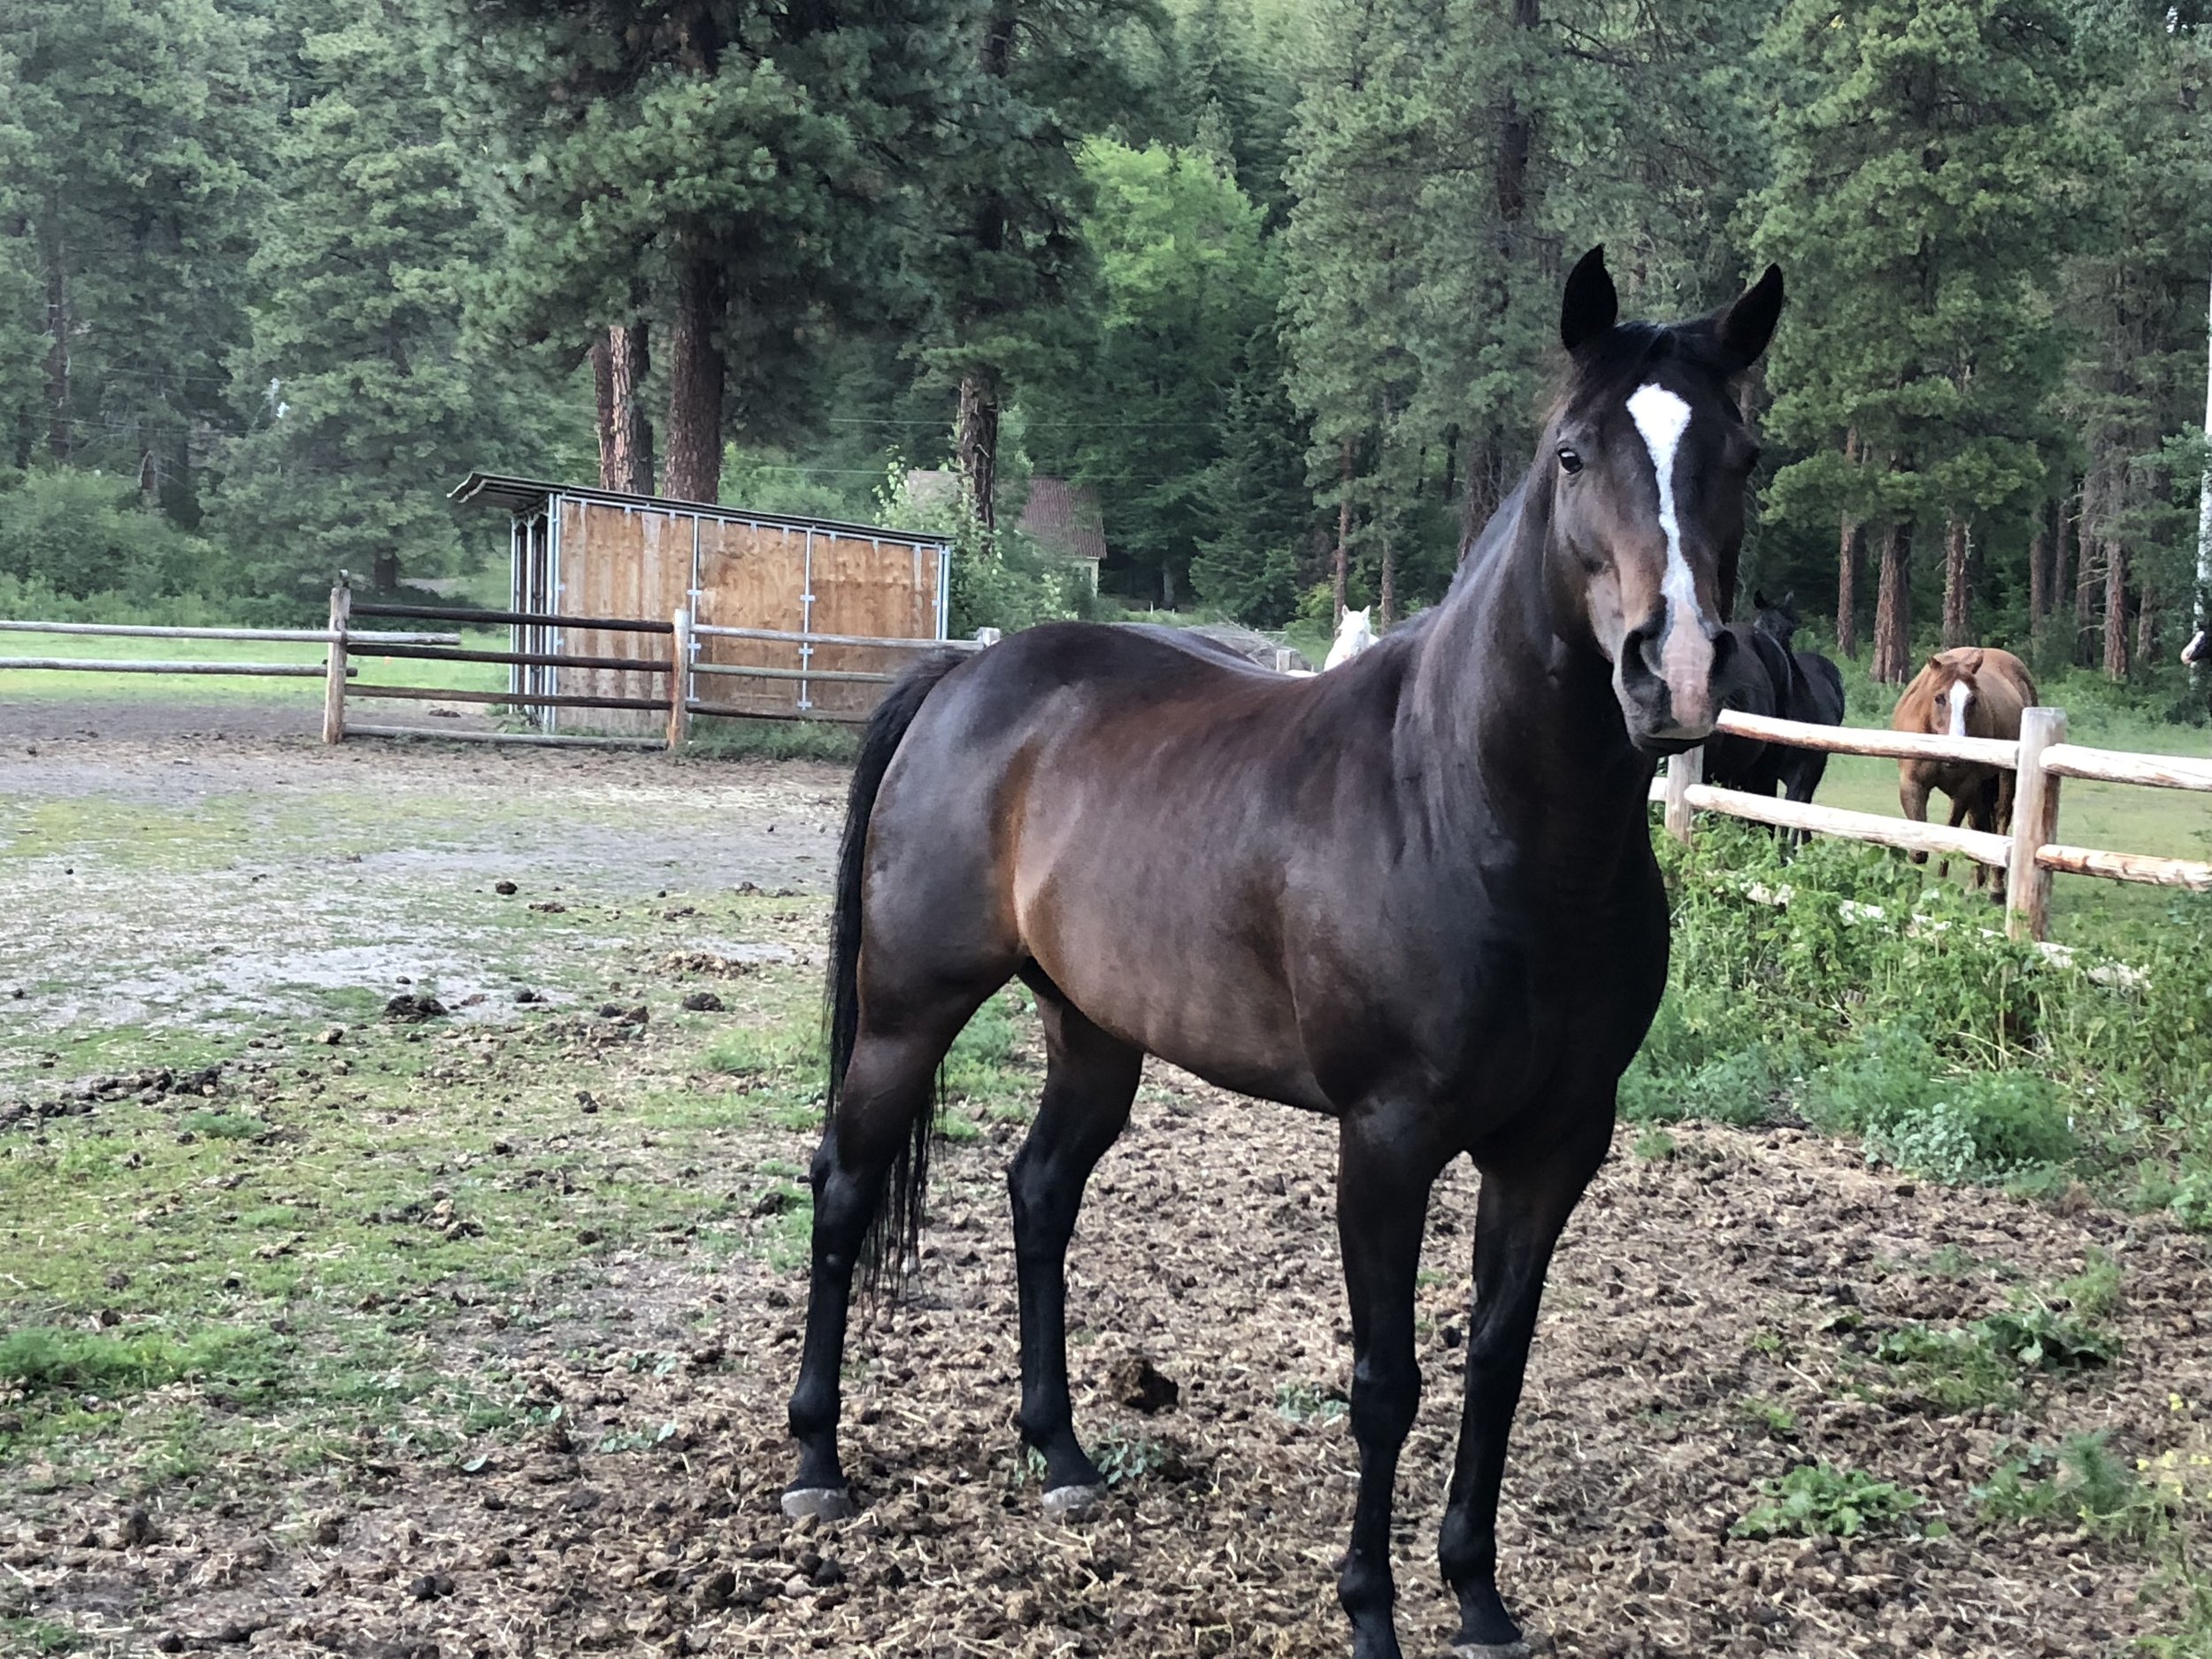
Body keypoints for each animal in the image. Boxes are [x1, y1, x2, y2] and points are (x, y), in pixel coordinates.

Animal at [783, 246, 1783, 1659]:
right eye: (1575, 453)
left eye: (1743, 456)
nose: (1677, 670)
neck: (1473, 813)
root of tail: (966, 675)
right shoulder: (1389, 1139)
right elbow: (1385, 1379)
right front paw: (1370, 1612)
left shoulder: (1556, 1143)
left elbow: (1496, 1360)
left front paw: (1479, 1598)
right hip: (907, 1009)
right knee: (844, 1185)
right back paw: (818, 1462)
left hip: (1094, 1030)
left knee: (1040, 1192)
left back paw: (1062, 1457)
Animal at [1894, 646, 2038, 885]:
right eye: (1939, 698)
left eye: (1972, 700)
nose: (1955, 752)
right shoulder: (1913, 785)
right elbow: (1920, 849)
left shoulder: (1963, 790)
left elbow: (1951, 838)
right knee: (1981, 823)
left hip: (2006, 776)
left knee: (2000, 817)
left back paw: (1994, 885)